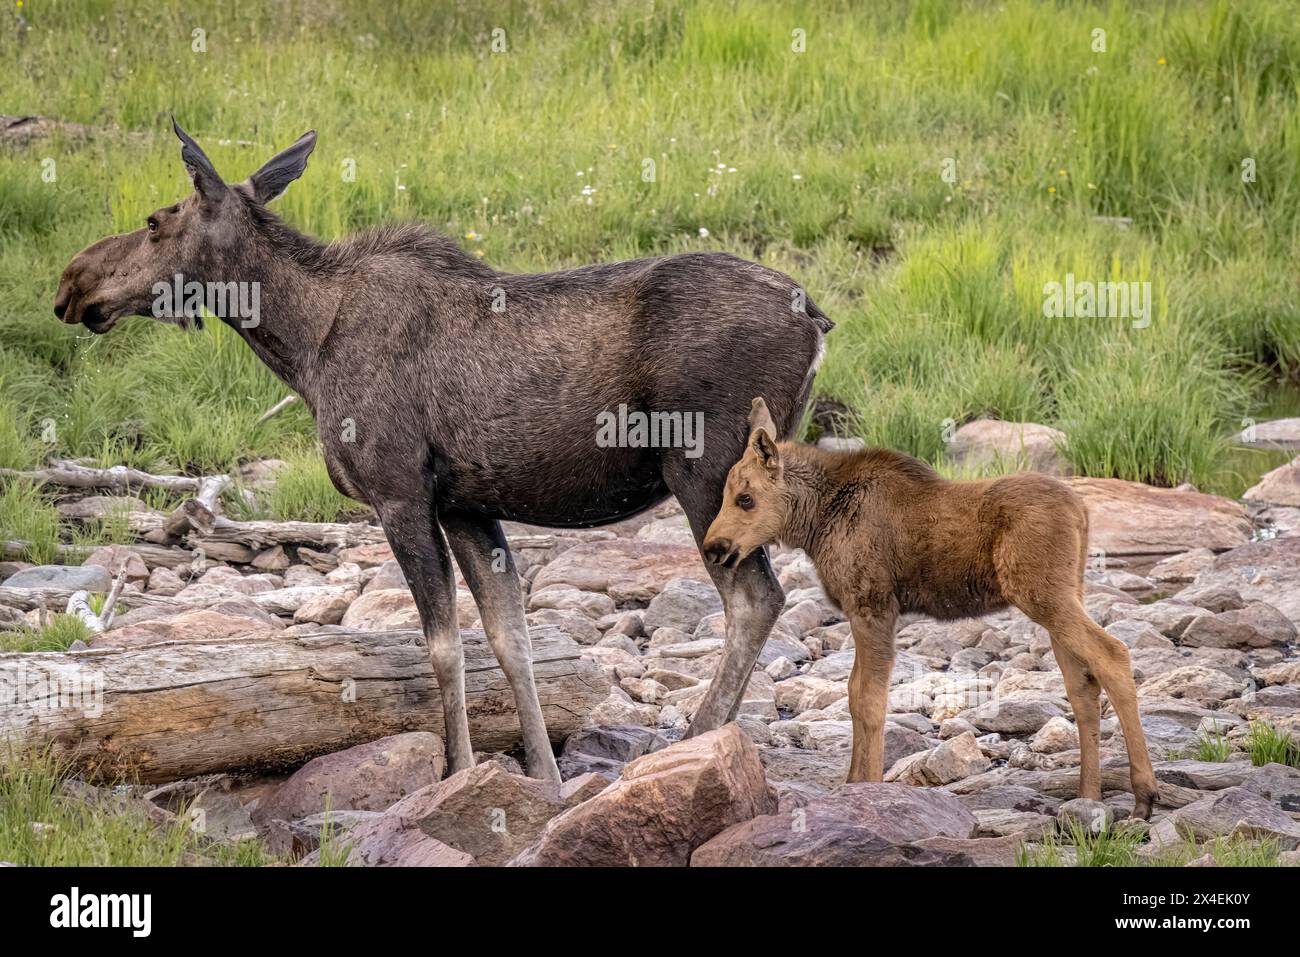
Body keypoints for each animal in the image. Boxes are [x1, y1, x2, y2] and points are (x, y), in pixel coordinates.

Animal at [52, 121, 833, 783]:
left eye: (155, 221)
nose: (71, 282)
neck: (302, 347)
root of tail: (820, 320)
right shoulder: (466, 504)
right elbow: (509, 639)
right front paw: (544, 777)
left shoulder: (398, 491)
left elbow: (443, 644)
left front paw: (457, 770)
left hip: (706, 468)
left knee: (756, 598)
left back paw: (695, 738)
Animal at [702, 398, 1160, 819]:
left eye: (745, 498)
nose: (712, 547)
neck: (814, 523)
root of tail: (1082, 512)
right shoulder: (866, 611)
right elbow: (853, 693)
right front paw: (852, 781)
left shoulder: (873, 605)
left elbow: (868, 699)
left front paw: (866, 785)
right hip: (1061, 594)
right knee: (1081, 684)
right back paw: (1089, 797)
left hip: (1041, 594)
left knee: (1112, 653)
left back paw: (1144, 795)